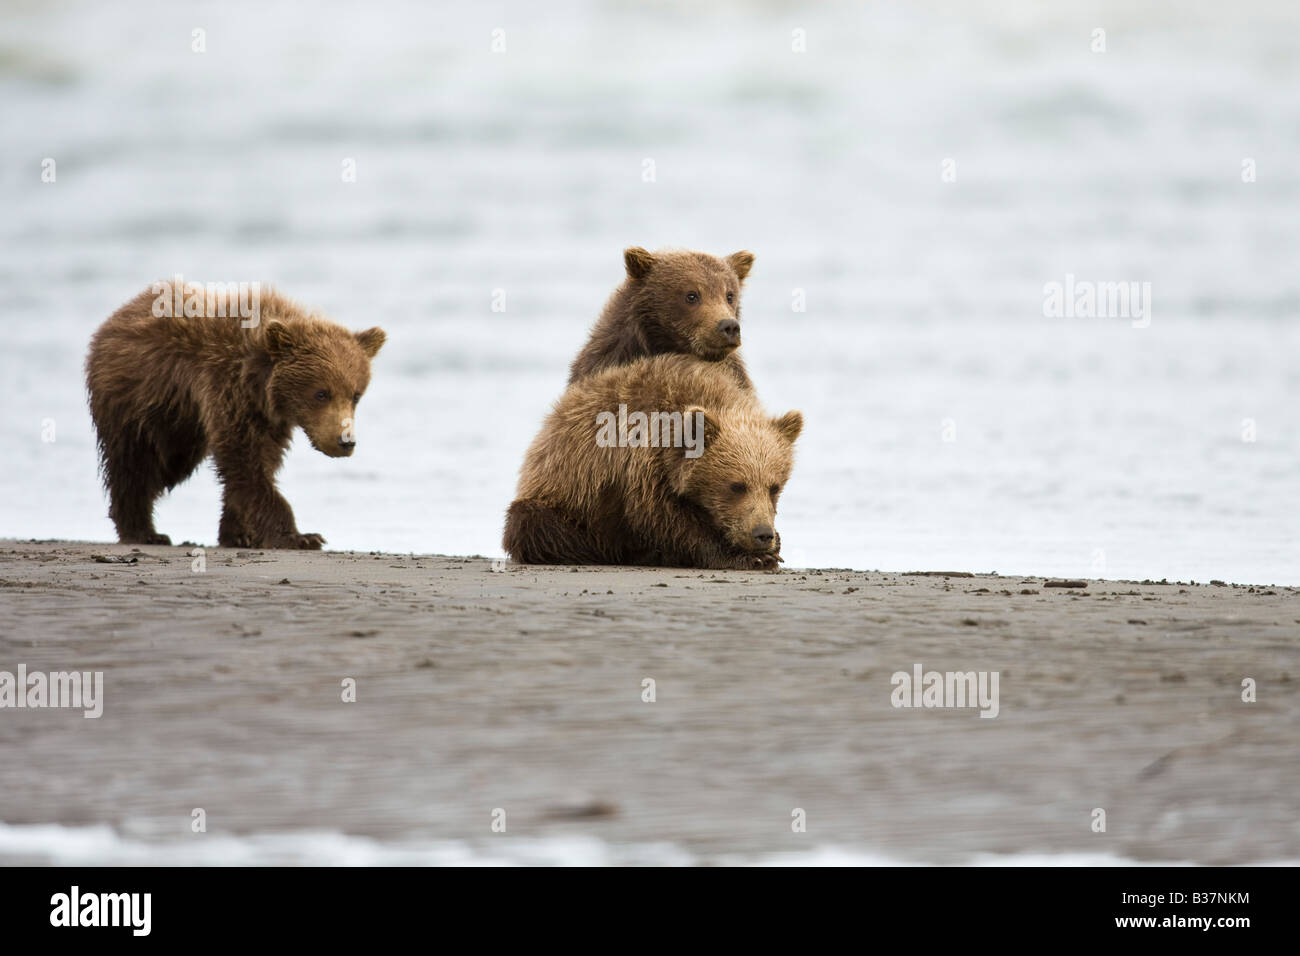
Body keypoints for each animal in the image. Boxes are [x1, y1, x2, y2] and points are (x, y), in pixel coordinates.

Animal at [85, 283, 385, 549]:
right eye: (321, 393)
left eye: (355, 394)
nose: (345, 441)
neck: (258, 384)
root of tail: (115, 318)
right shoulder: (227, 388)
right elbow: (245, 459)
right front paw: (300, 536)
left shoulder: (267, 418)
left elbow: (260, 462)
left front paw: (240, 533)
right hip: (136, 405)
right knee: (137, 463)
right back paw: (143, 531)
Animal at [504, 354, 802, 570]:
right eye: (737, 485)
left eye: (774, 487)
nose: (763, 534)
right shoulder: (639, 466)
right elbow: (666, 520)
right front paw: (748, 557)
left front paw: (773, 548)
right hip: (565, 497)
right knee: (533, 525)